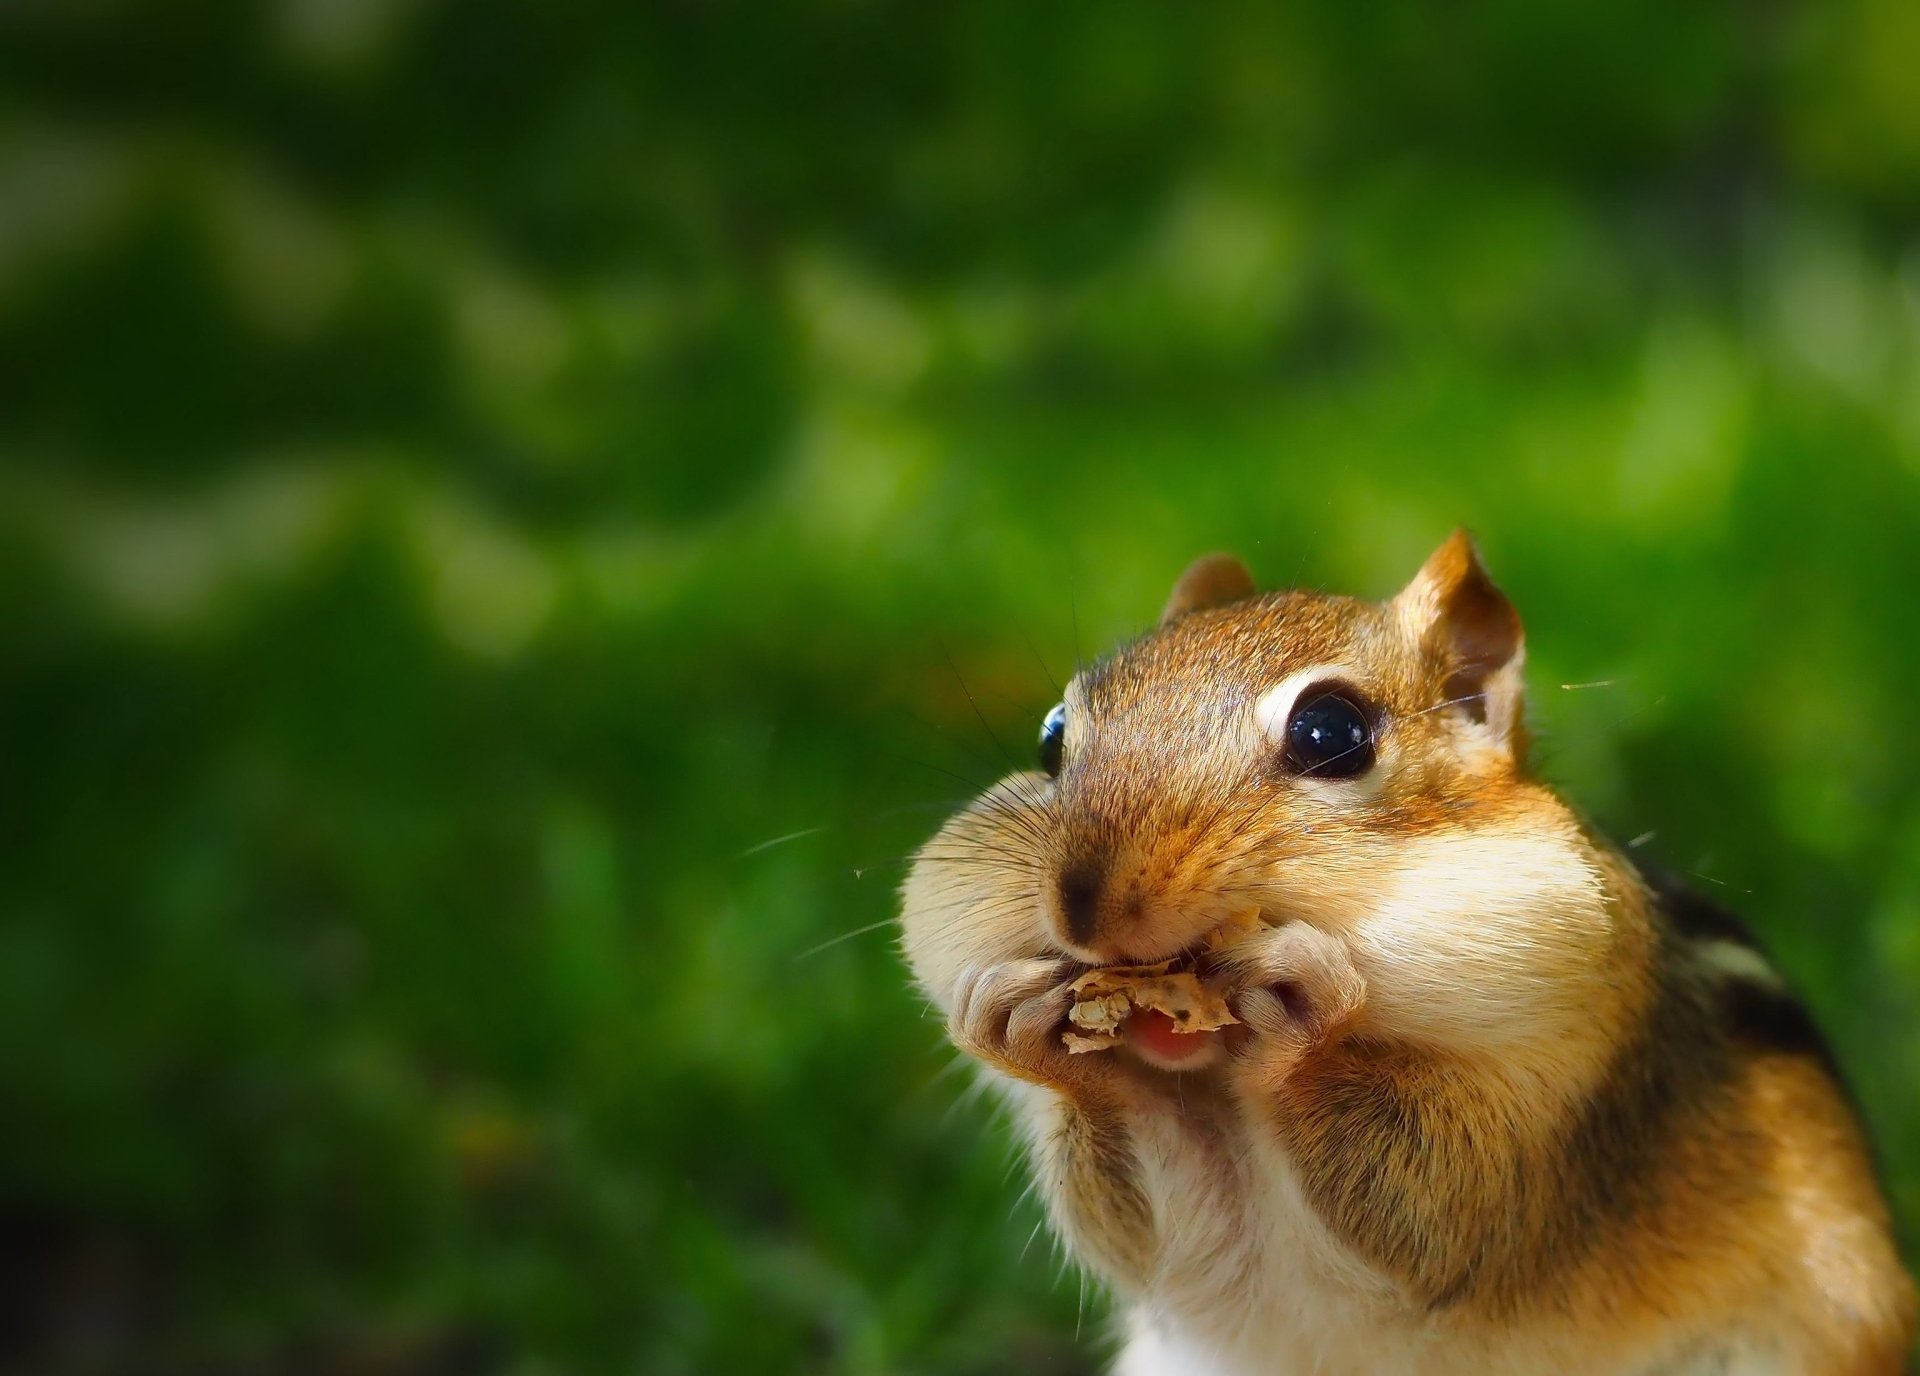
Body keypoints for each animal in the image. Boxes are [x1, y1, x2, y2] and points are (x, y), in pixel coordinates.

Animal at [898, 532, 1915, 1375]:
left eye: (1331, 732)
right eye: (1051, 737)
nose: (1083, 906)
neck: (1221, 1090)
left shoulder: (1550, 1114)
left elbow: (1434, 1221)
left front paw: (1303, 1012)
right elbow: (1152, 1240)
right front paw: (1020, 1029)